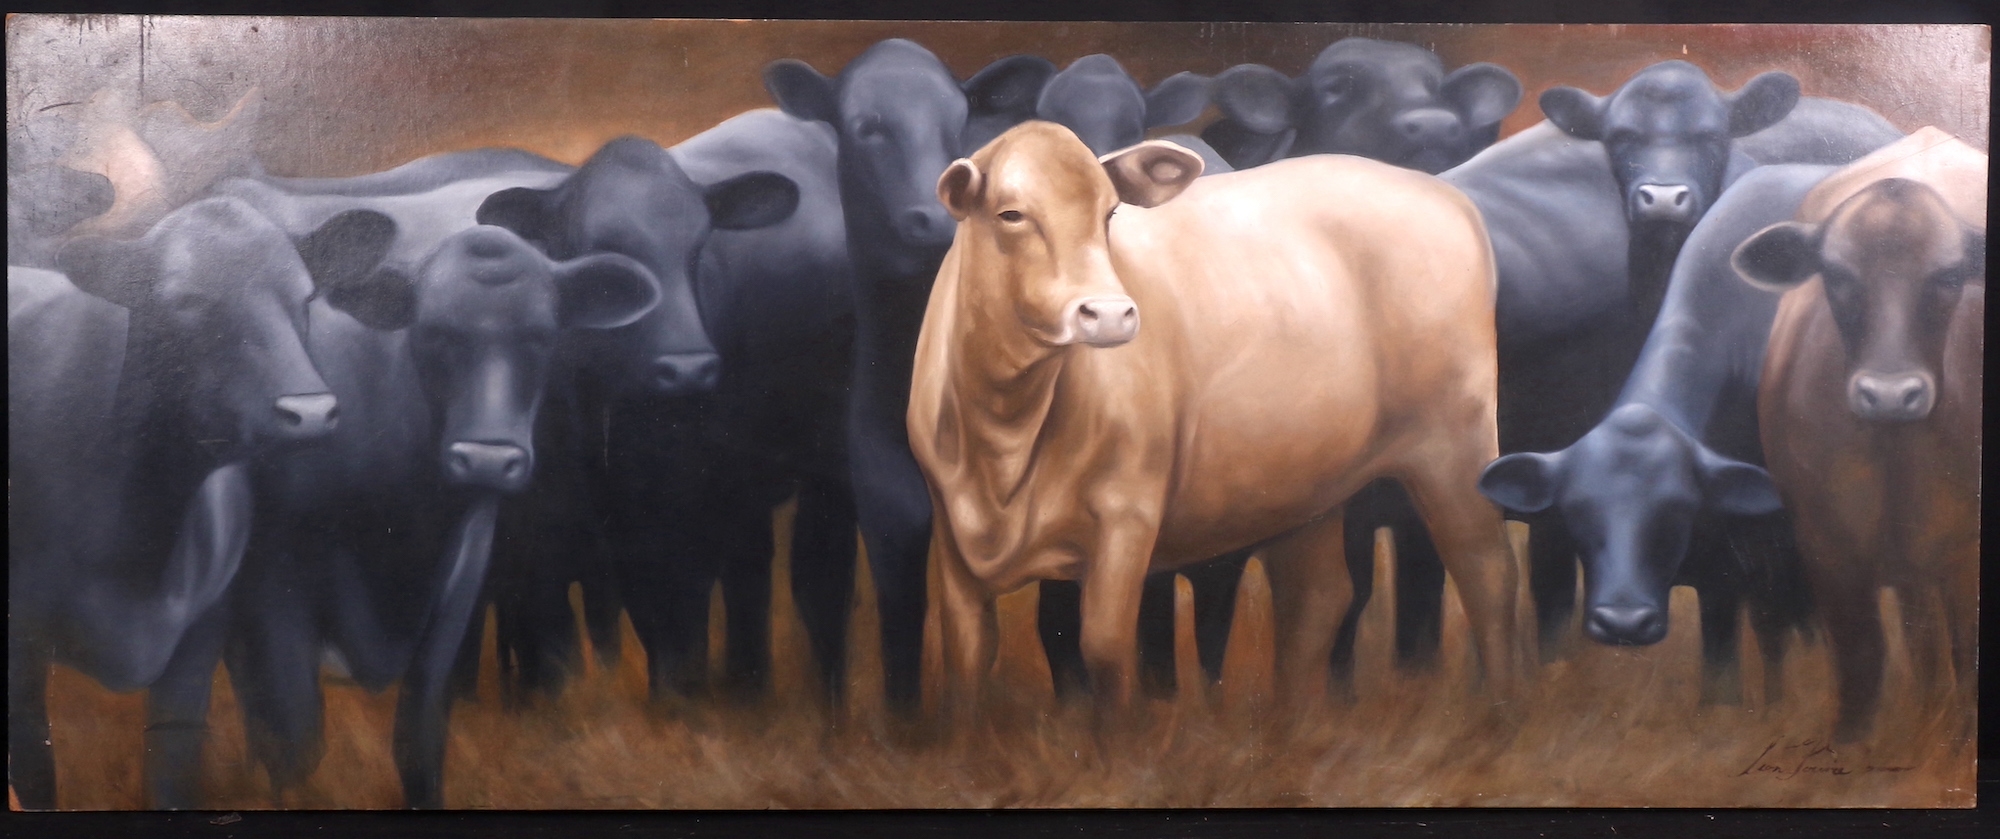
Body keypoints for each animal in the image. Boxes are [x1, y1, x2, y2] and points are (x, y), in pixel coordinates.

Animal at [8, 196, 408, 810]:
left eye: (305, 297)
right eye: (186, 302)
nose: (311, 411)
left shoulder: (202, 633)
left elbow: (172, 763)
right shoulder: (20, 657)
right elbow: (34, 773)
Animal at [476, 110, 852, 708]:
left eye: (698, 250)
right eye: (606, 265)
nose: (688, 369)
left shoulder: (684, 517)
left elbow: (679, 629)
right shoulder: (565, 528)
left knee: (820, 580)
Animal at [763, 39, 1057, 715]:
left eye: (958, 125)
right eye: (866, 127)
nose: (936, 215)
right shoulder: (879, 480)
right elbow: (900, 606)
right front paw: (905, 720)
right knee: (819, 585)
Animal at [910, 123, 1520, 735]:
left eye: (1110, 213)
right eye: (1010, 214)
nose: (1108, 314)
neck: (1003, 438)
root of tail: (1440, 192)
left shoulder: (1127, 516)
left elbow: (1105, 648)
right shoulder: (951, 533)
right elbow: (967, 654)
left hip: (1454, 442)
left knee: (1485, 569)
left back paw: (1498, 712)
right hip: (1303, 482)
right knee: (1316, 597)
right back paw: (1290, 726)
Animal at [1733, 128, 1985, 743]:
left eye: (1948, 277)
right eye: (1837, 276)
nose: (1890, 394)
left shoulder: (1965, 551)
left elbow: (1967, 655)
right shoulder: (1824, 546)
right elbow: (1860, 660)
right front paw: (1848, 743)